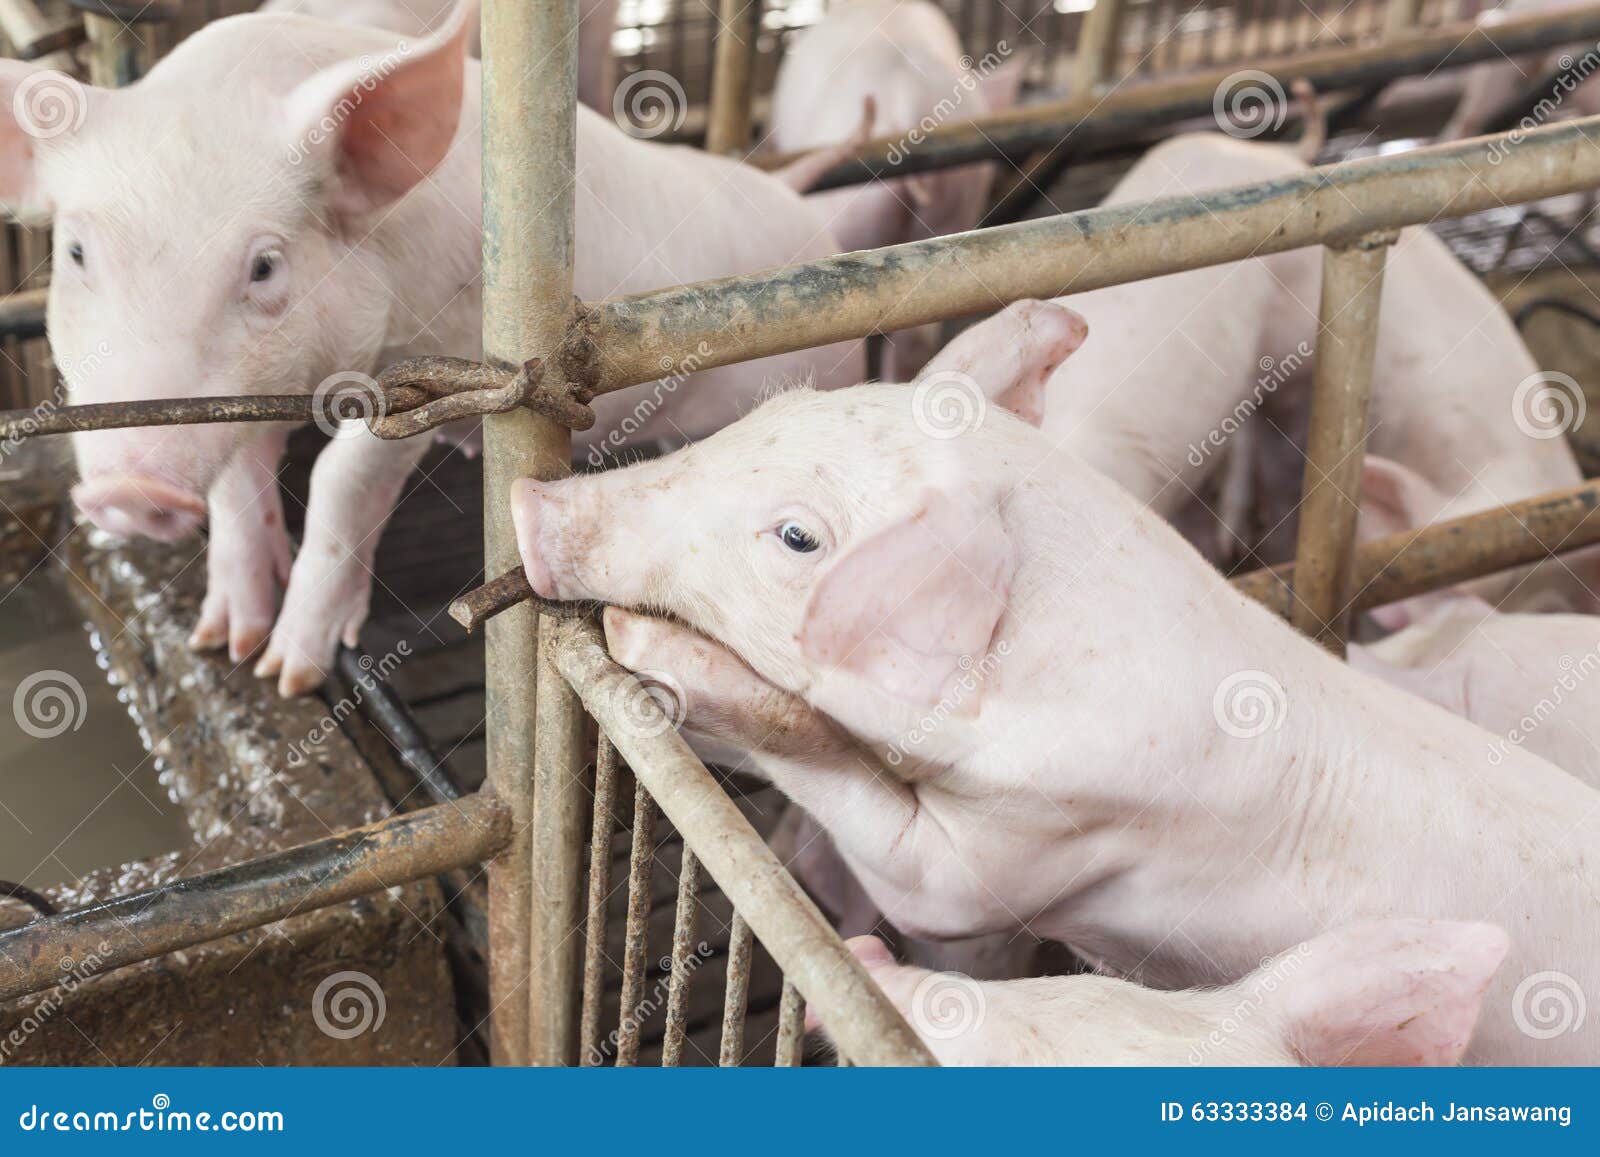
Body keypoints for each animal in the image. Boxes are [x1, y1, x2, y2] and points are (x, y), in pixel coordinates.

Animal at [512, 348, 1600, 1064]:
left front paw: (645, 645)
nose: (531, 504)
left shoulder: (1023, 842)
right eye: (775, 412)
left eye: (795, 537)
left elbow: (903, 860)